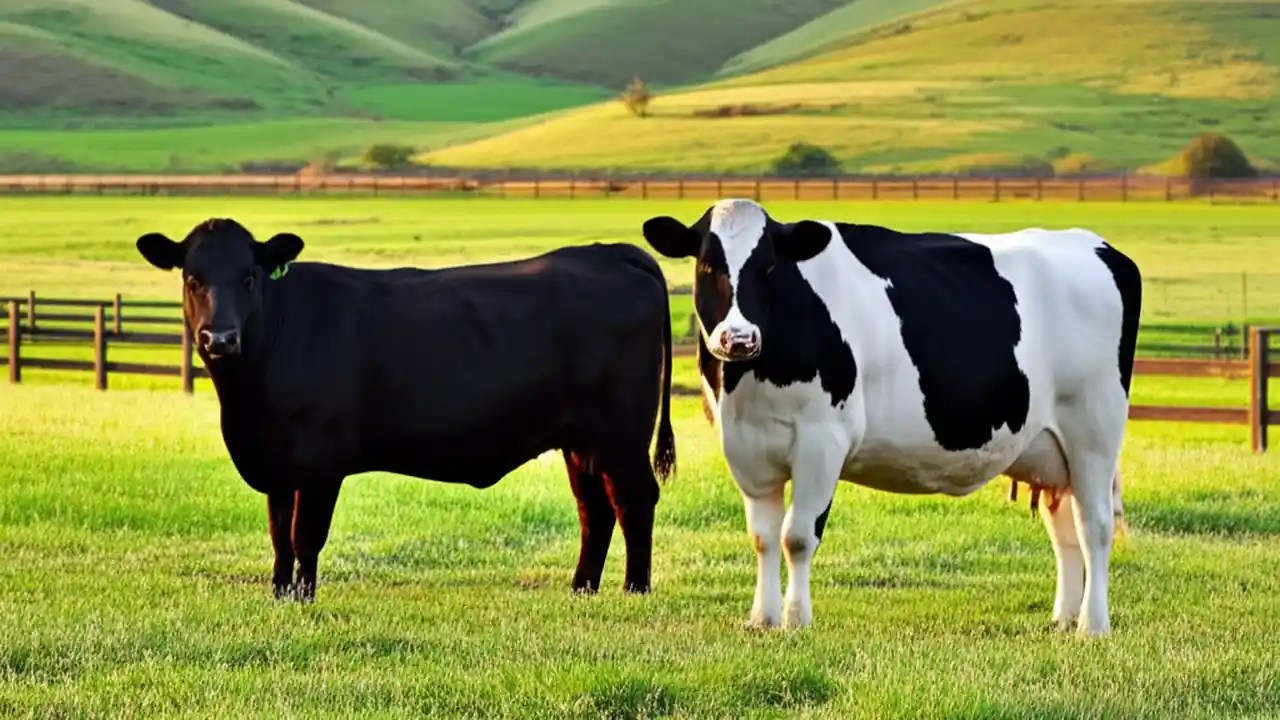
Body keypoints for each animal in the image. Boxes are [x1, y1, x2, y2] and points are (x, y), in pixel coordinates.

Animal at [136, 218, 675, 601]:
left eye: (248, 277)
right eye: (192, 278)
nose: (221, 338)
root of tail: (609, 252)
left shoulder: (319, 463)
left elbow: (305, 534)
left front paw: (303, 599)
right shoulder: (276, 463)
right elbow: (279, 536)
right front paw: (279, 593)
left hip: (621, 434)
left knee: (634, 499)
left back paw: (635, 589)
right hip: (581, 441)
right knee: (594, 507)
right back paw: (582, 588)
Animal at [642, 199, 1140, 637]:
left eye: (767, 267)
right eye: (708, 267)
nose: (740, 338)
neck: (748, 379)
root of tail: (1094, 243)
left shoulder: (822, 441)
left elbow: (796, 536)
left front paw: (796, 620)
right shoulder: (745, 447)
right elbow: (763, 537)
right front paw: (761, 619)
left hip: (1093, 432)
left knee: (1095, 527)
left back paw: (1093, 625)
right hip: (1054, 452)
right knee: (1065, 531)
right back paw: (1064, 619)